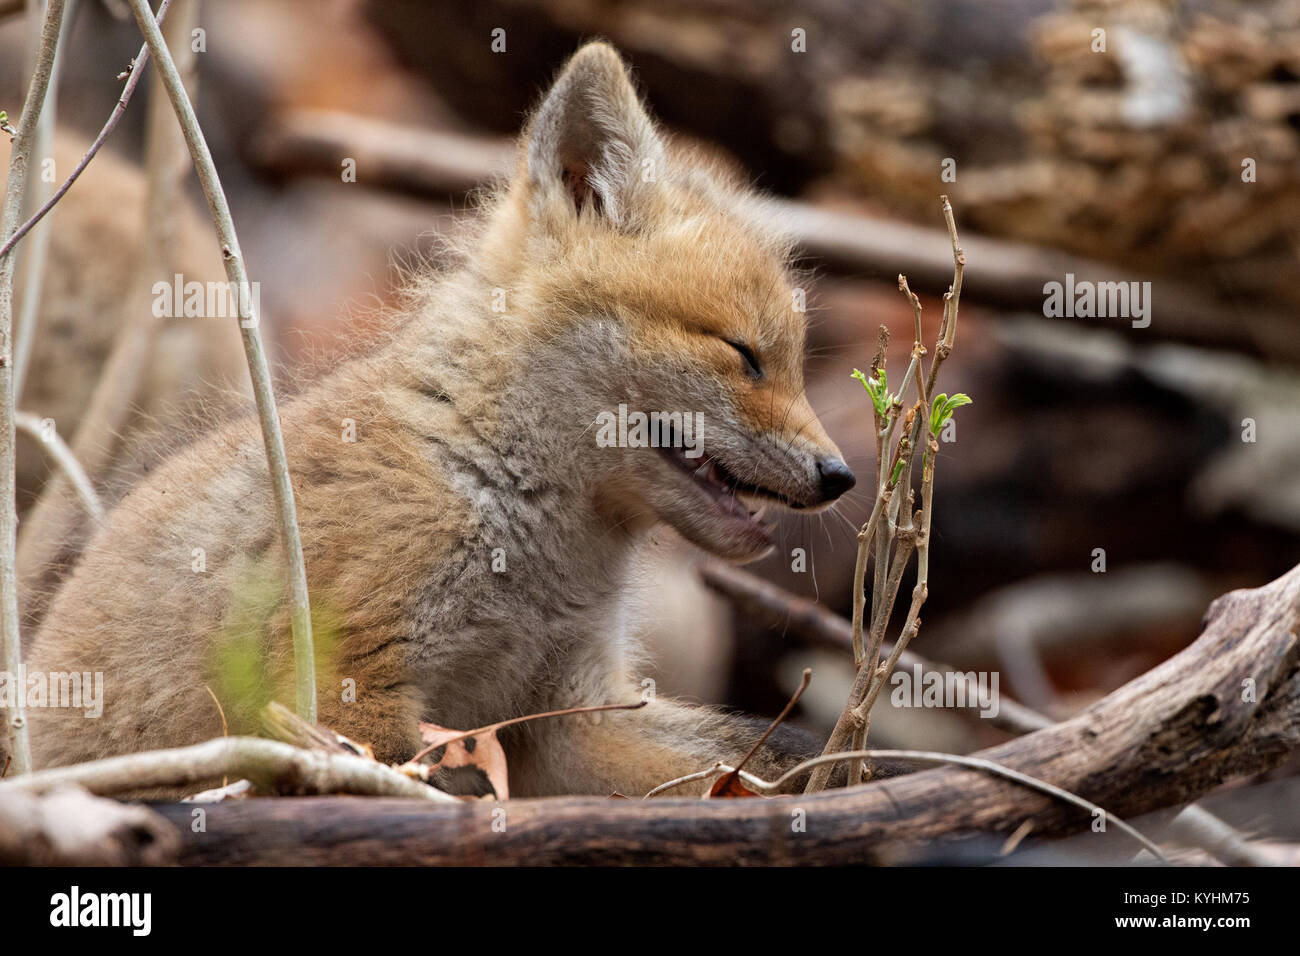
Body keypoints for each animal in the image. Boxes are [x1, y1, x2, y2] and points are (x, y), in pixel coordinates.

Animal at [17, 42, 857, 797]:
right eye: (743, 354)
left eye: (792, 361)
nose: (840, 477)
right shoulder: (346, 686)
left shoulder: (566, 715)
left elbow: (735, 768)